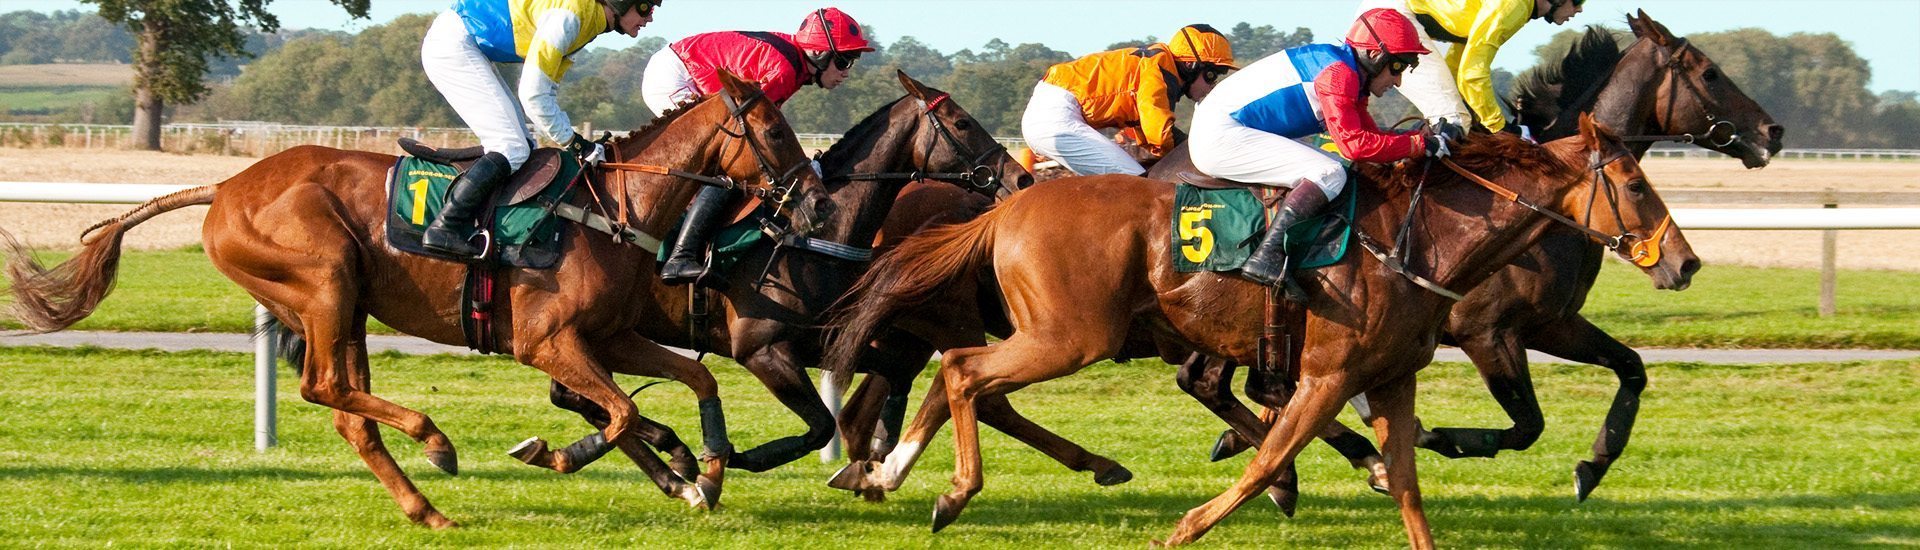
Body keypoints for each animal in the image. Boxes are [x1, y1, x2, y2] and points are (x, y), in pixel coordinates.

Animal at [0, 72, 842, 526]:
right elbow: (619, 413)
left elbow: (686, 381)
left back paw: (425, 504)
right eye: (774, 130)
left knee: (347, 409)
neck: (612, 209)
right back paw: (435, 440)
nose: (817, 203)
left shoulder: (606, 337)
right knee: (323, 387)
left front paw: (703, 473)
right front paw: (561, 454)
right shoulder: (547, 342)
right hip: (326, 278)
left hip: (346, 305)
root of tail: (227, 185)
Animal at [822, 116, 1698, 547]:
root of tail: (1007, 204)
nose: (1684, 261)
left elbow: (1407, 485)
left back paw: (887, 470)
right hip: (1069, 335)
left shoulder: (1391, 377)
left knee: (958, 377)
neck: (1417, 240)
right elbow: (1269, 459)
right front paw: (1188, 527)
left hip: (1055, 334)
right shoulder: (1329, 376)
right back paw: (943, 488)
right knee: (966, 373)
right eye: (1633, 182)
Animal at [1198, 10, 1783, 502]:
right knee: (1215, 380)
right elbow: (1527, 425)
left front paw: (1591, 466)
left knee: (1221, 381)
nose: (1772, 133)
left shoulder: (1551, 323)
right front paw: (1436, 437)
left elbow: (1631, 369)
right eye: (1710, 73)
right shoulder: (1488, 331)